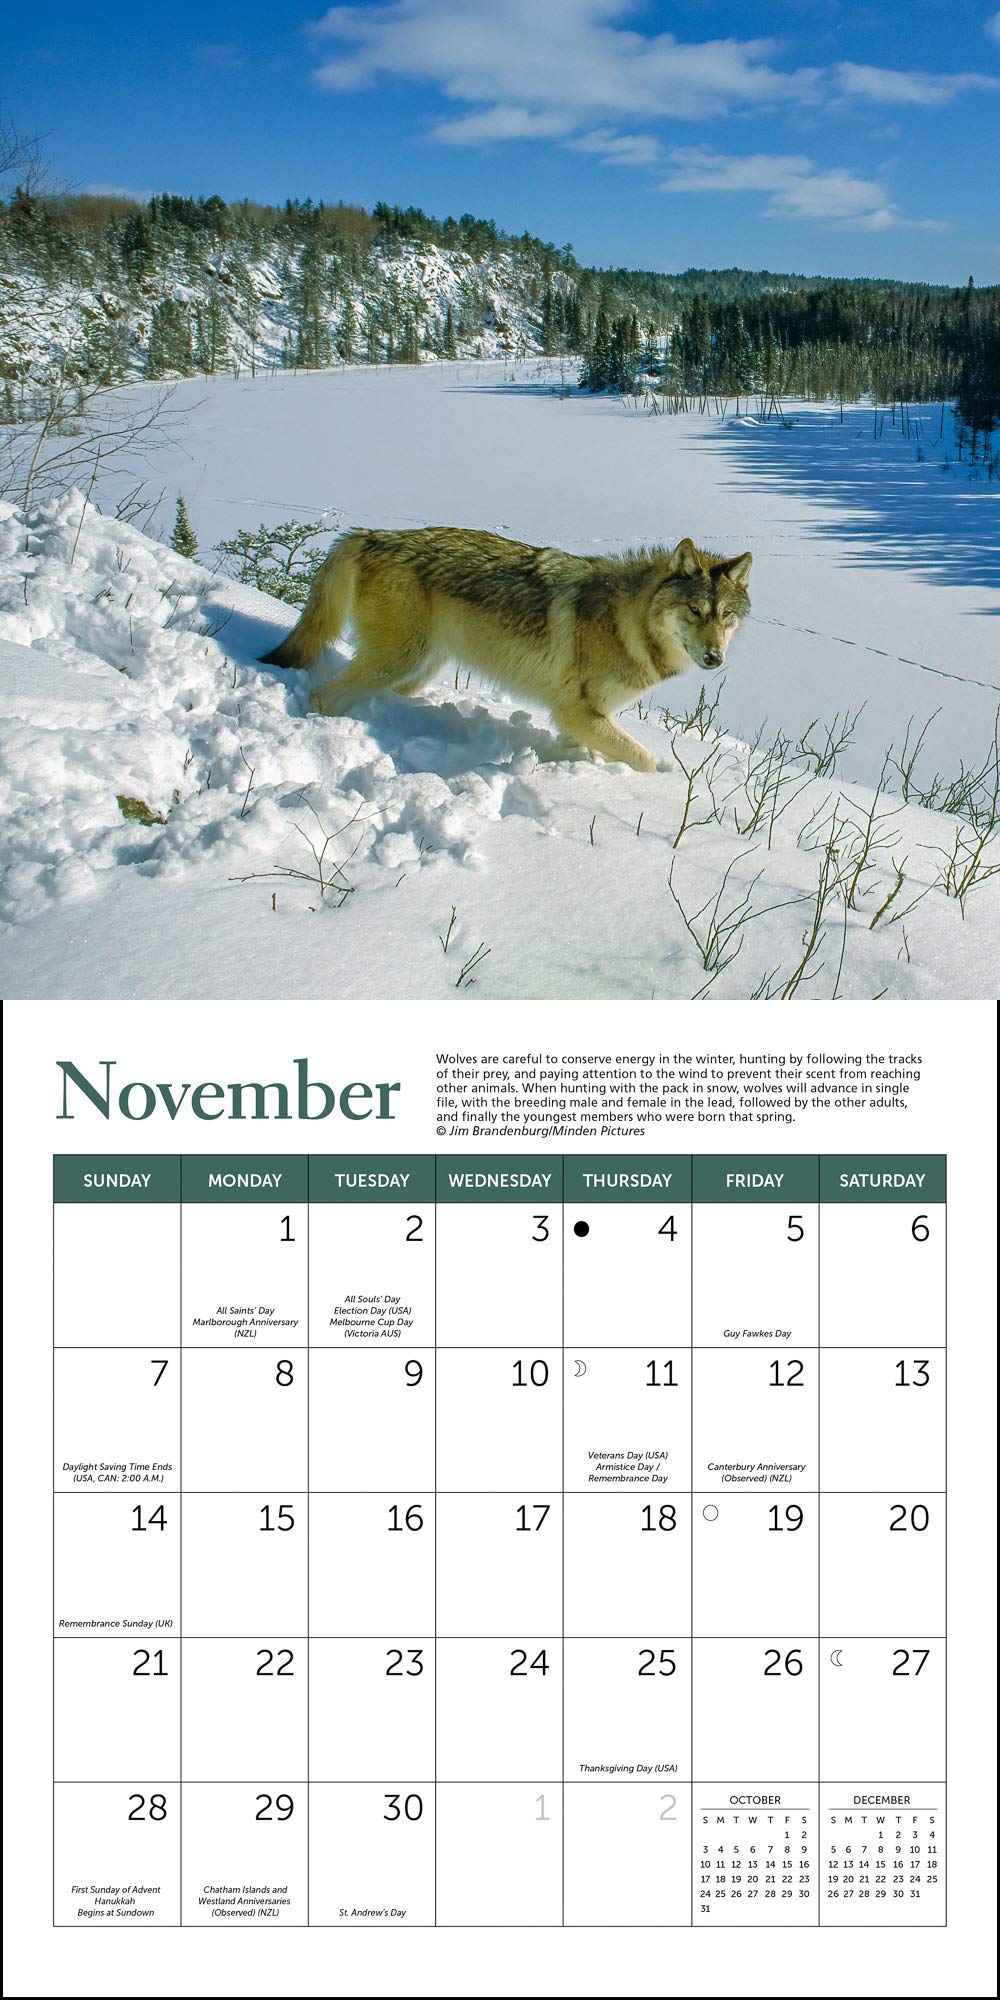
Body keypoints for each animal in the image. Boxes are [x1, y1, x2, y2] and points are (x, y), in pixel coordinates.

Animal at [261, 526, 752, 773]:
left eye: (726, 617)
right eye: (694, 611)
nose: (715, 658)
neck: (625, 621)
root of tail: (367, 534)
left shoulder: (584, 719)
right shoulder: (576, 710)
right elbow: (645, 760)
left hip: (420, 669)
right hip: (397, 660)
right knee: (324, 695)